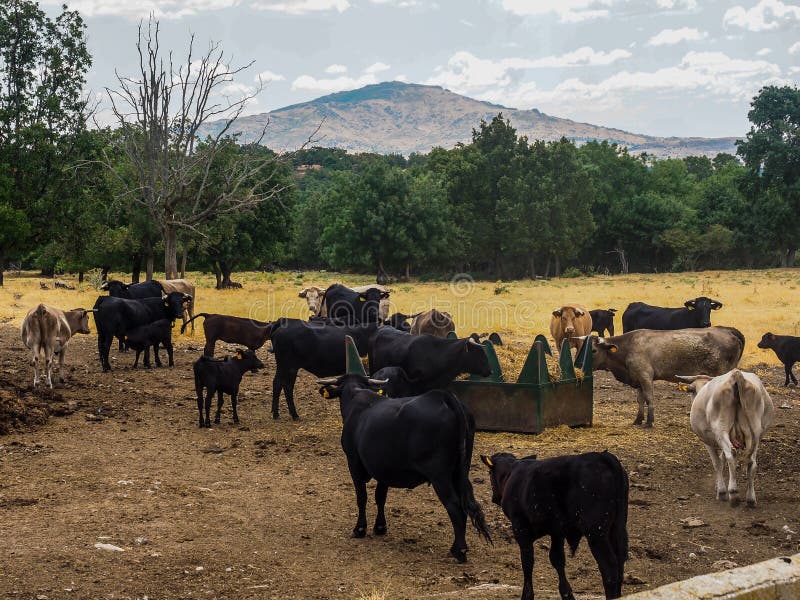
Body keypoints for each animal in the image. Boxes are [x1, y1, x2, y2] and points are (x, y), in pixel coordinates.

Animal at [317, 373, 491, 562]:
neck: (356, 395)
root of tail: (444, 397)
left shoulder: (353, 461)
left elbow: (362, 497)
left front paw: (360, 529)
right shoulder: (383, 467)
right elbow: (380, 497)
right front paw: (380, 527)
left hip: (440, 476)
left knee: (455, 507)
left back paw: (459, 551)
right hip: (460, 472)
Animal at [481, 451, 628, 600]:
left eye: (489, 472)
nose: (494, 497)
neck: (511, 472)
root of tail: (602, 457)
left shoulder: (521, 529)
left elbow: (527, 561)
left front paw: (527, 595)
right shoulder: (557, 532)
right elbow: (557, 559)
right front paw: (566, 593)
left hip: (596, 533)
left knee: (609, 567)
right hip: (617, 529)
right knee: (620, 563)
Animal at [583, 327, 744, 427]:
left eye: (593, 350)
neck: (627, 348)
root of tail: (727, 330)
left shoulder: (645, 377)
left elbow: (649, 398)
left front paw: (649, 421)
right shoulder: (638, 379)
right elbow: (640, 400)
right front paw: (638, 419)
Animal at [677, 369, 774, 507]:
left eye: (692, 391)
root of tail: (735, 374)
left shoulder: (708, 441)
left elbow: (717, 462)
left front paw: (721, 491)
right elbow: (722, 460)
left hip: (720, 430)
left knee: (731, 455)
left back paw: (732, 493)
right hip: (755, 433)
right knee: (752, 462)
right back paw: (751, 498)